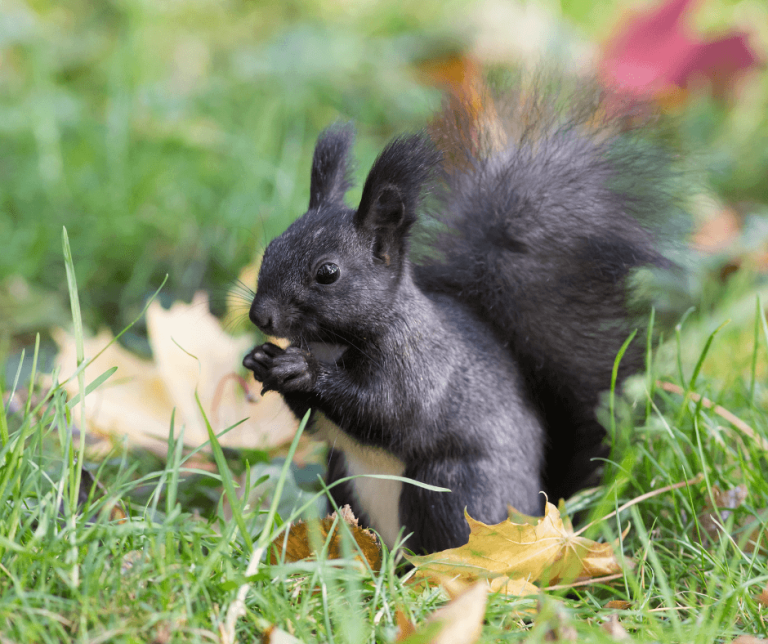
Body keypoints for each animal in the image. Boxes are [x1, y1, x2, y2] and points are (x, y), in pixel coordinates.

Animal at [242, 75, 683, 554]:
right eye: (270, 248)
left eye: (327, 273)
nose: (260, 316)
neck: (331, 342)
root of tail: (541, 513)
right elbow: (312, 425)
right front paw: (261, 360)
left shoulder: (420, 366)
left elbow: (386, 412)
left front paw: (301, 370)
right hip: (344, 481)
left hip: (451, 490)